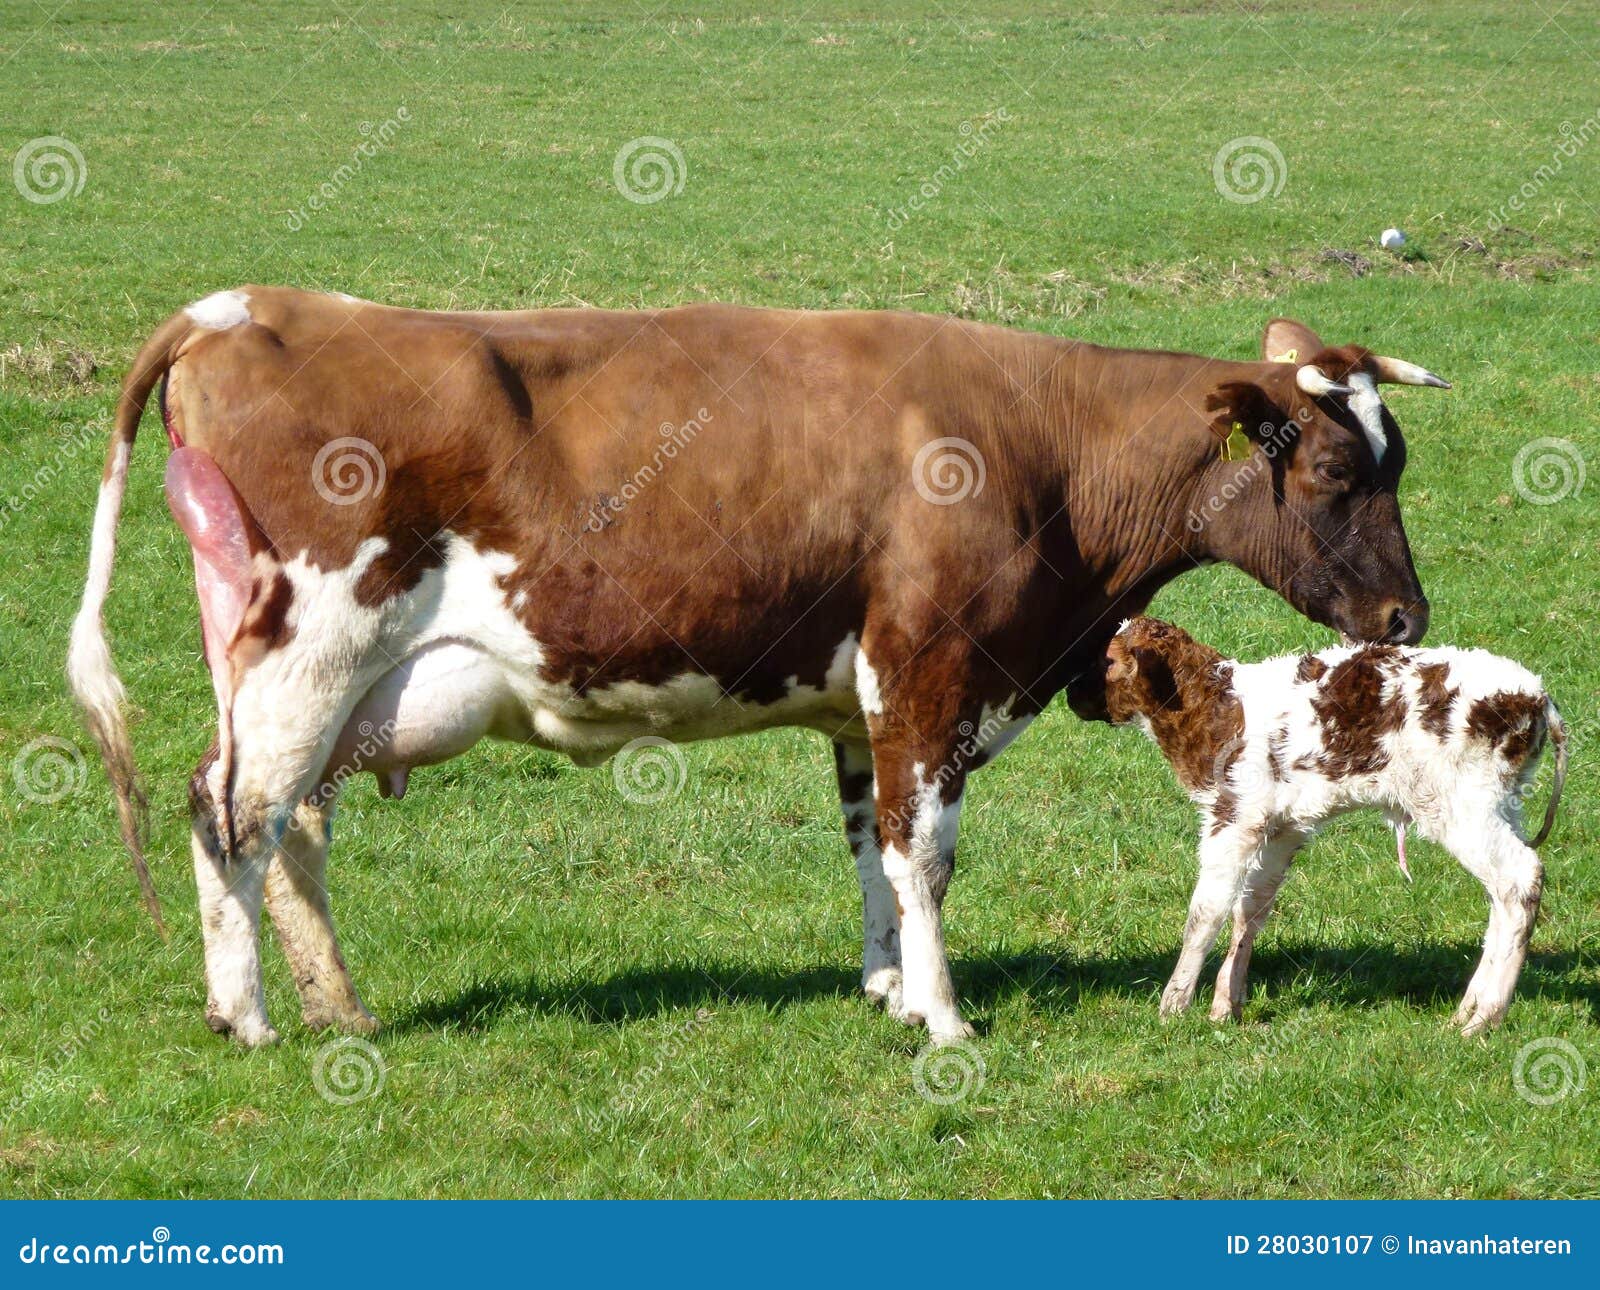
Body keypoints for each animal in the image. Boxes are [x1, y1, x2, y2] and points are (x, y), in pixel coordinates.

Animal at [68, 291, 1448, 1047]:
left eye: (1399, 461)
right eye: (1336, 470)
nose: (1403, 613)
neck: (1044, 453)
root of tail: (249, 305)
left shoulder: (862, 702)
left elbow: (872, 846)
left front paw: (890, 991)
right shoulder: (929, 672)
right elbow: (924, 852)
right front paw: (945, 1017)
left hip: (326, 686)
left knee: (290, 828)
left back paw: (338, 1008)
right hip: (304, 653)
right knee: (231, 814)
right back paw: (248, 1016)